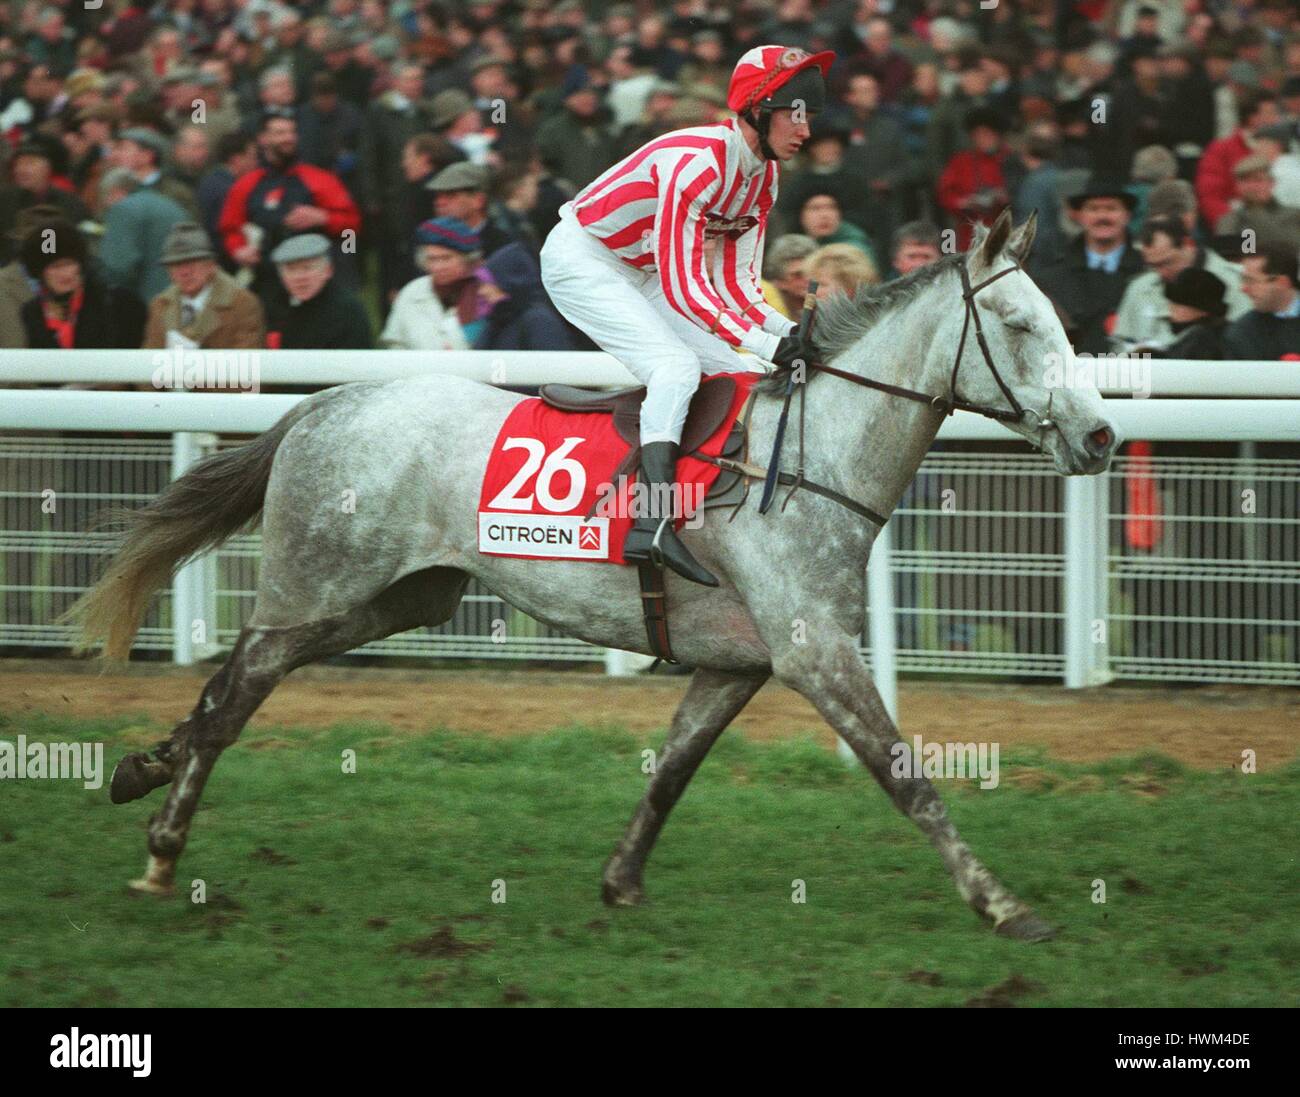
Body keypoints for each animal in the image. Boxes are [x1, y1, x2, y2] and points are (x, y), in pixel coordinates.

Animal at [66, 210, 1119, 941]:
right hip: (315, 582)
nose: (1103, 435)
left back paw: (141, 769)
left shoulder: (739, 659)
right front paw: (1004, 904)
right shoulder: (815, 649)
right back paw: (162, 849)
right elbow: (908, 776)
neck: (807, 458)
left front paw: (621, 880)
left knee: (239, 685)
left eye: (1060, 319)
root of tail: (323, 403)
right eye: (1018, 323)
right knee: (235, 689)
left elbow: (676, 767)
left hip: (396, 596)